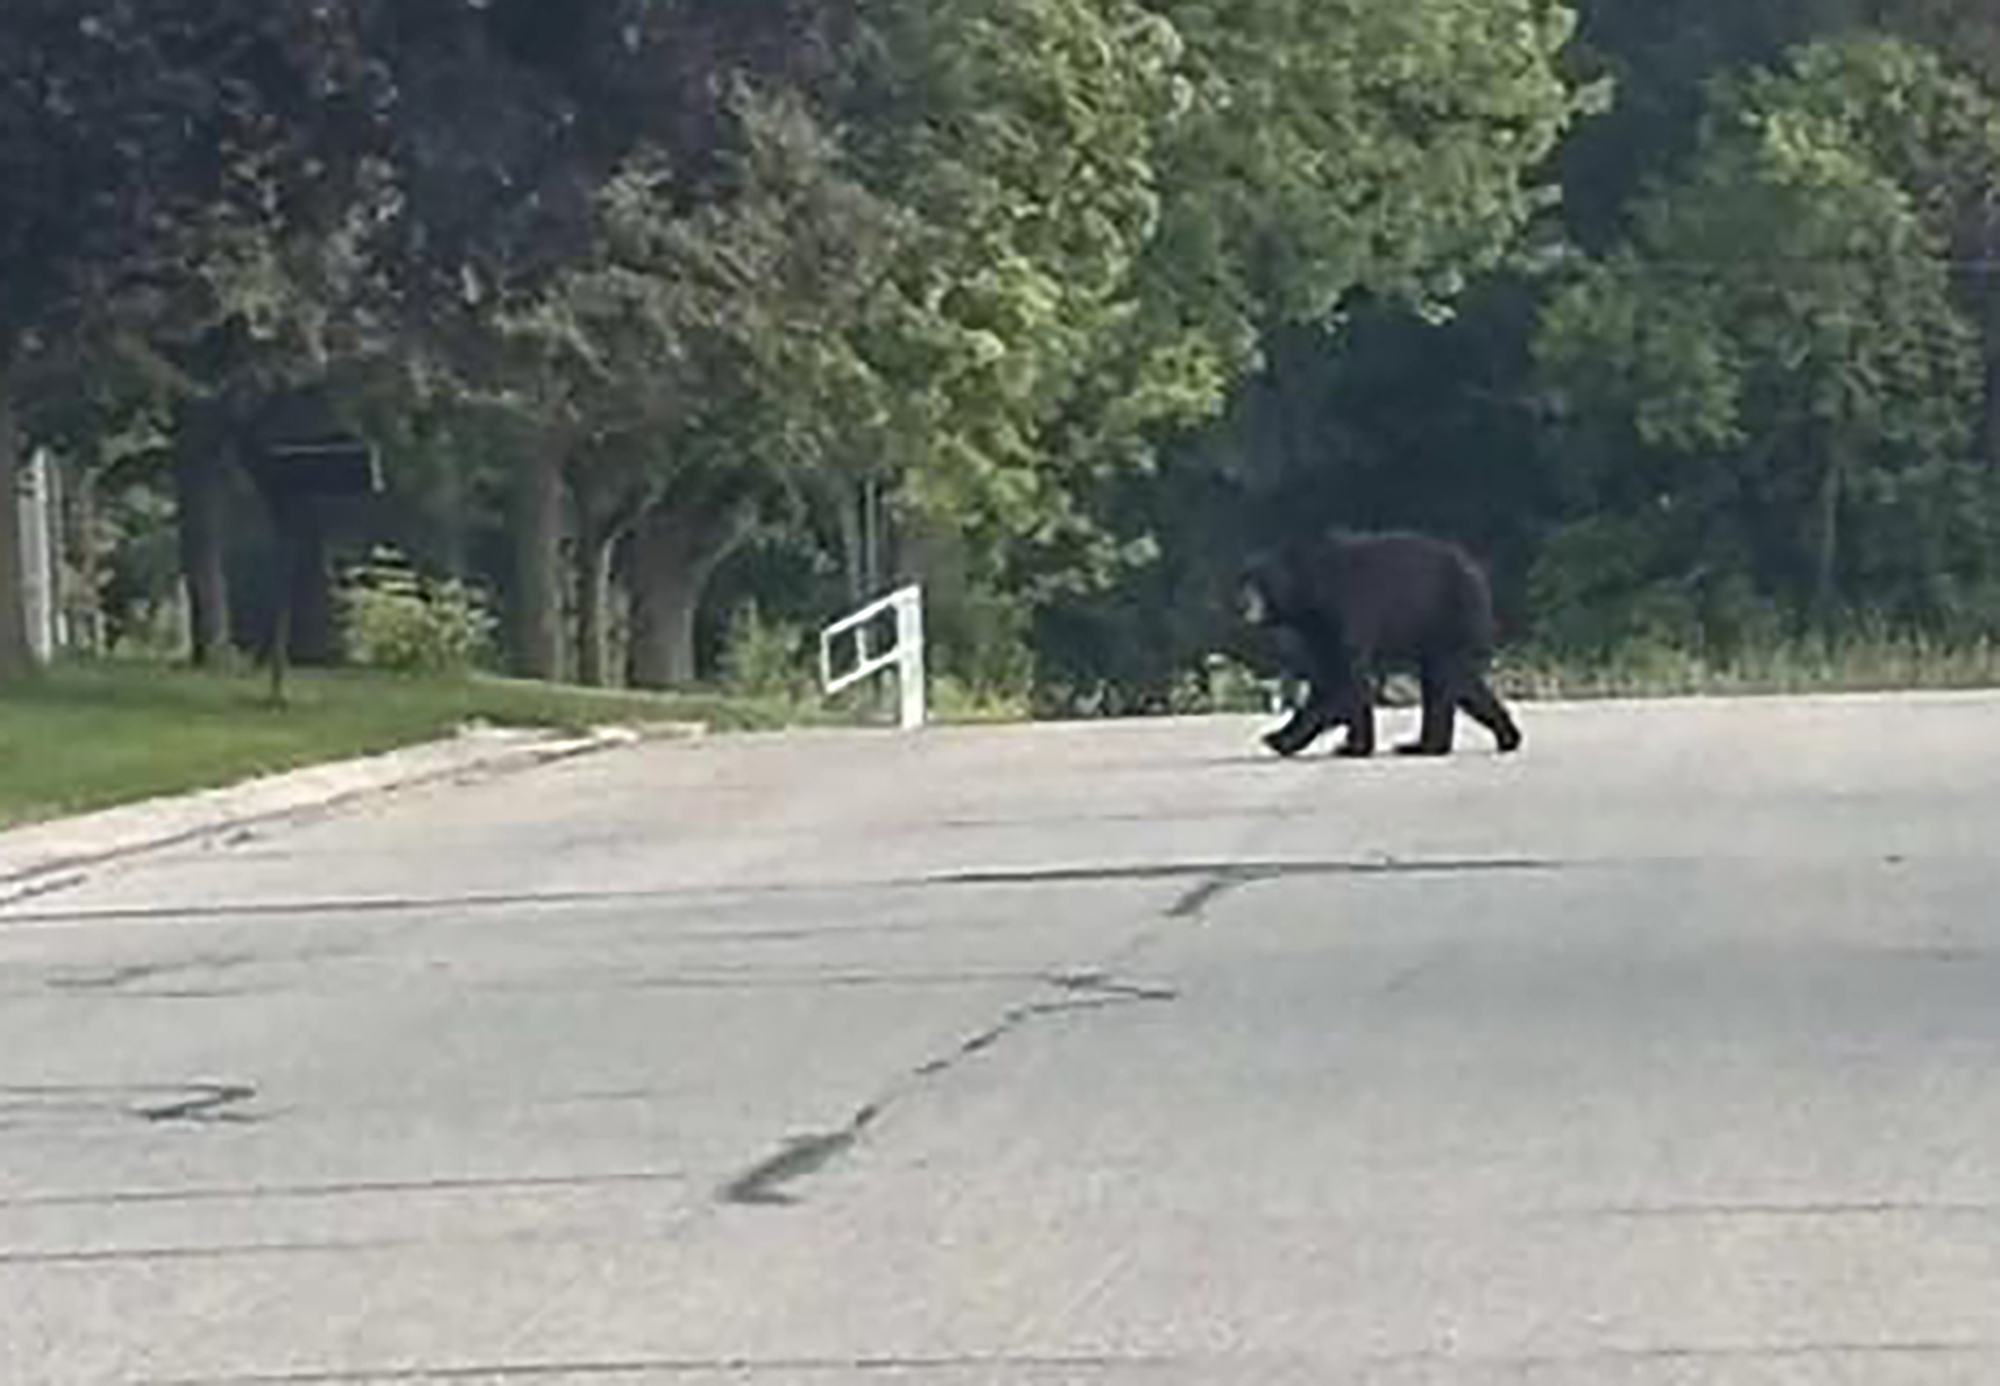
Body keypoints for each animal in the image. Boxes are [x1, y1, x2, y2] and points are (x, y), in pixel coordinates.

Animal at [1238, 529, 1524, 760]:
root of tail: (1477, 574)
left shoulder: (1344, 608)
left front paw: (1349, 746)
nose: (1246, 606)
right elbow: (1328, 672)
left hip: (1447, 616)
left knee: (1445, 677)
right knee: (1456, 681)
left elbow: (1343, 678)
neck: (1310, 588)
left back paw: (1431, 746)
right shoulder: (1318, 630)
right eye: (1247, 584)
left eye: (1258, 586)